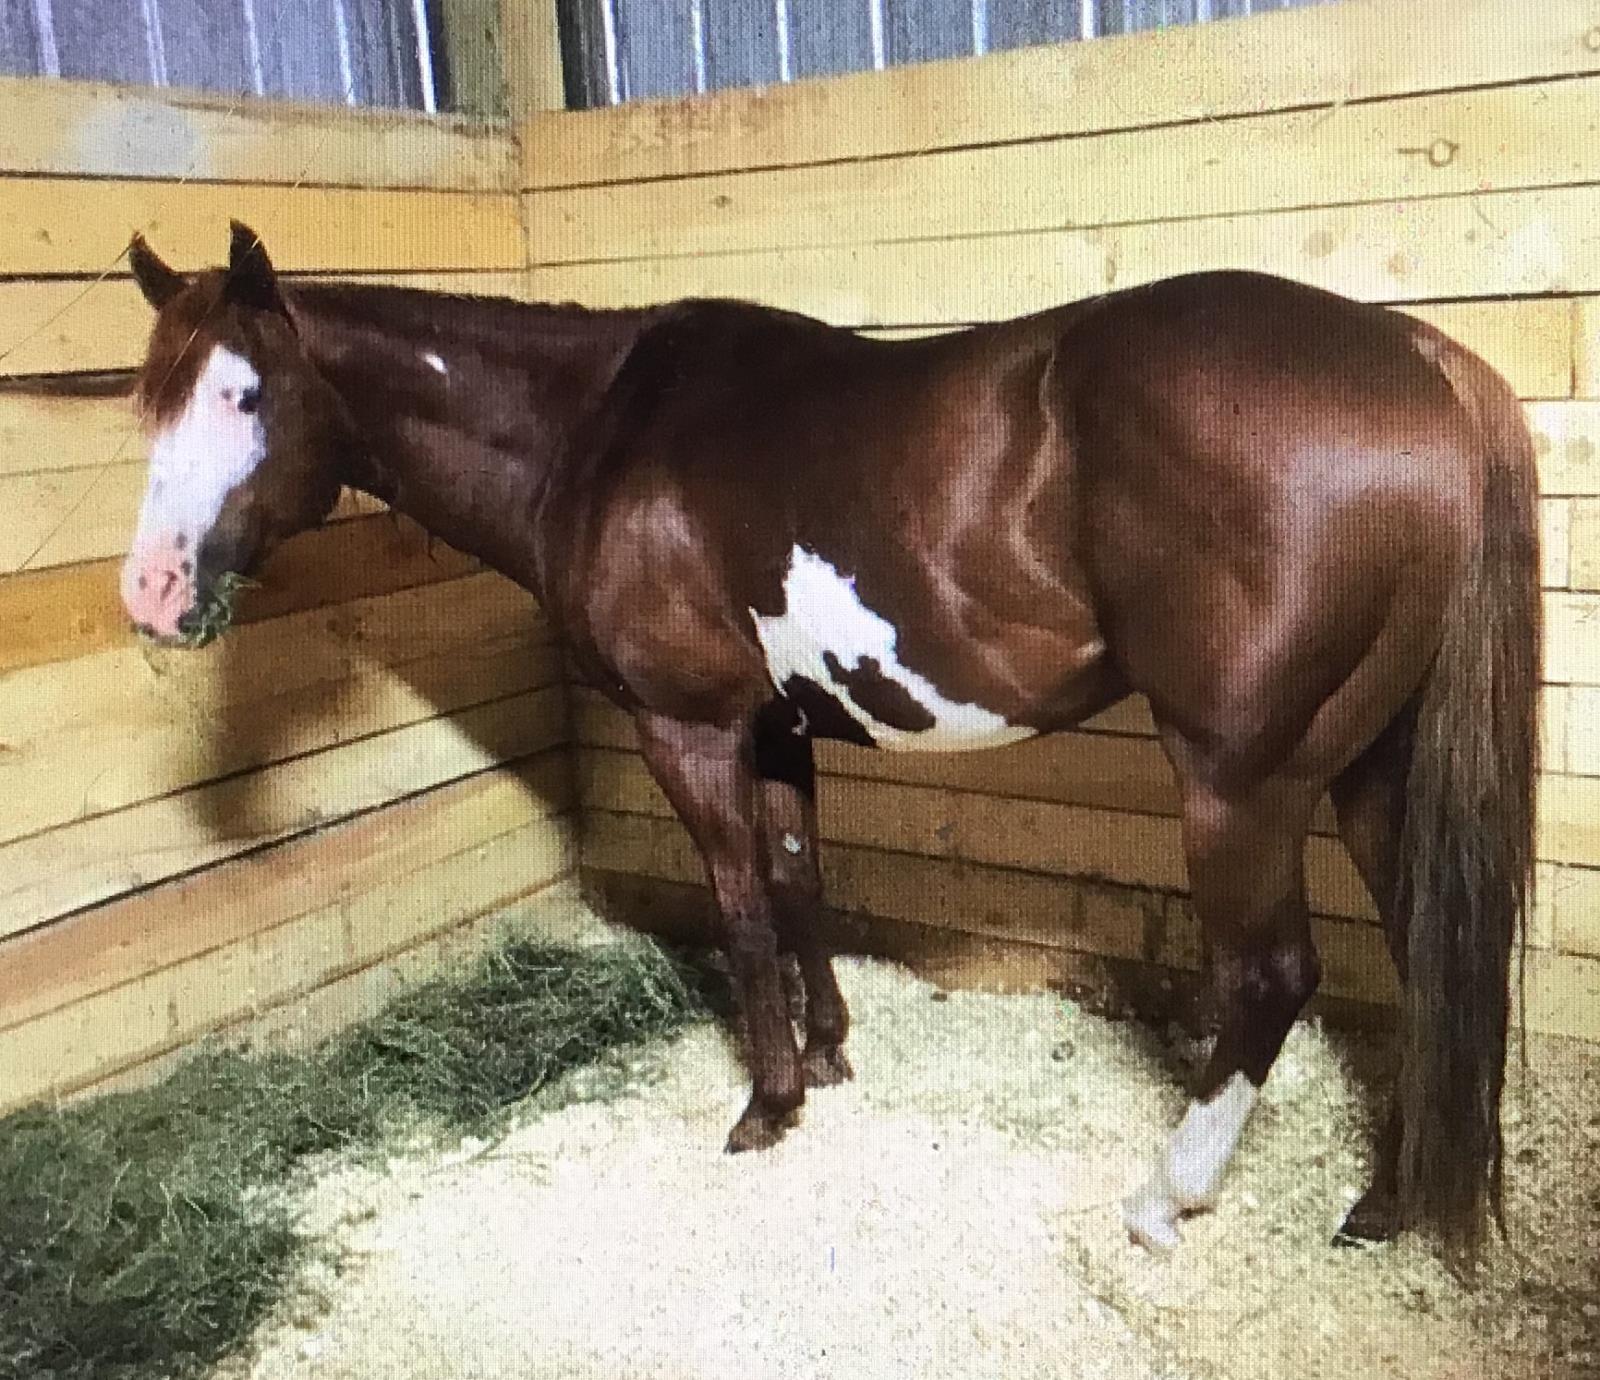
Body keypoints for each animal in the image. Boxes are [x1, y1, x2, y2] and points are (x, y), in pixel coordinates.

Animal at [118, 222, 1539, 1258]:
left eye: (242, 395)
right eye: (148, 403)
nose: (151, 593)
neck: (600, 429)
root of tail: (1415, 359)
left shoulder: (688, 727)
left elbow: (742, 904)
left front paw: (768, 1103)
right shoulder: (779, 727)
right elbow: (803, 880)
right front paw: (833, 1052)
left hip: (1243, 782)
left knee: (1271, 975)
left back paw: (1163, 1197)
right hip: (1373, 764)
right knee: (1426, 951)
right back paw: (1388, 1202)